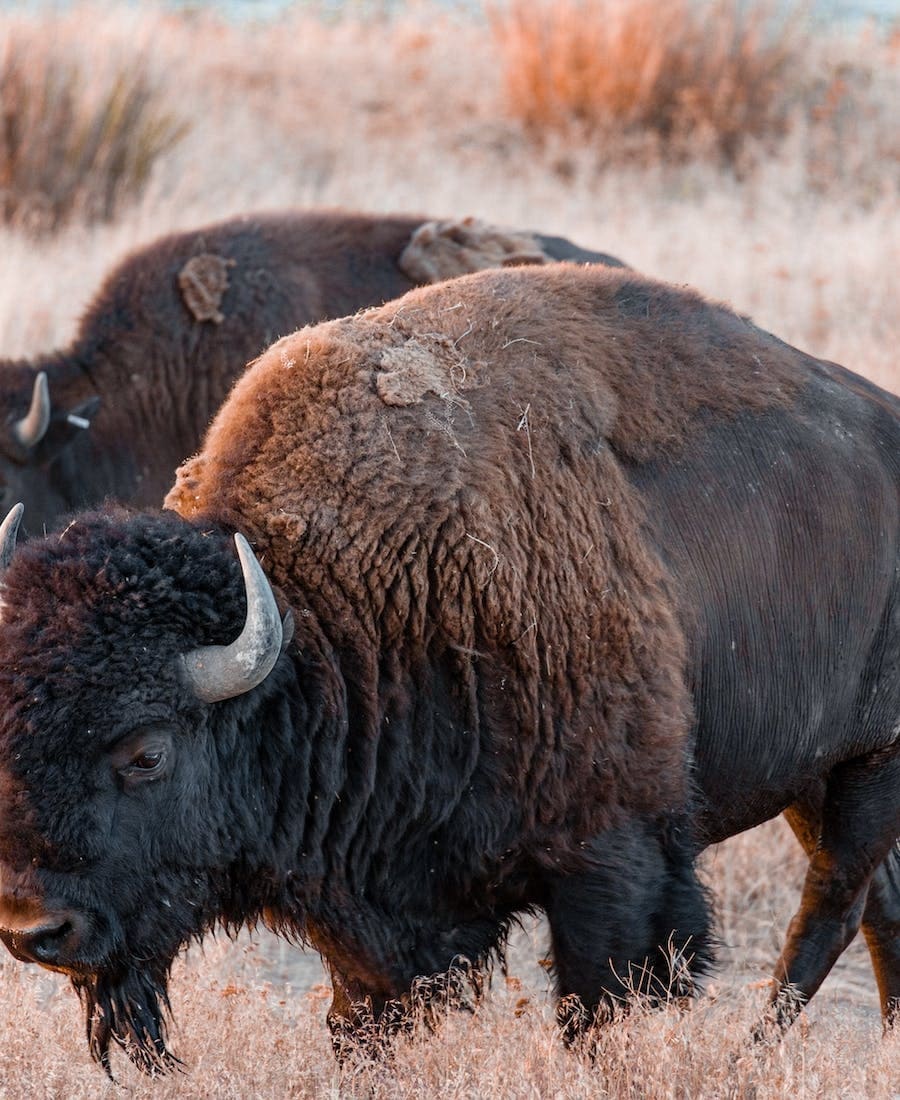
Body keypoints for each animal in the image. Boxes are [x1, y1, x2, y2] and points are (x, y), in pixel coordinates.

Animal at [0, 264, 895, 1075]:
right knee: (875, 899)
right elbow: (361, 1021)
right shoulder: (373, 917)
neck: (328, 618)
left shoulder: (615, 860)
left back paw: (757, 1049)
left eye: (147, 752)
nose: (33, 930)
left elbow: (597, 1009)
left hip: (869, 761)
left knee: (835, 900)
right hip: (811, 775)